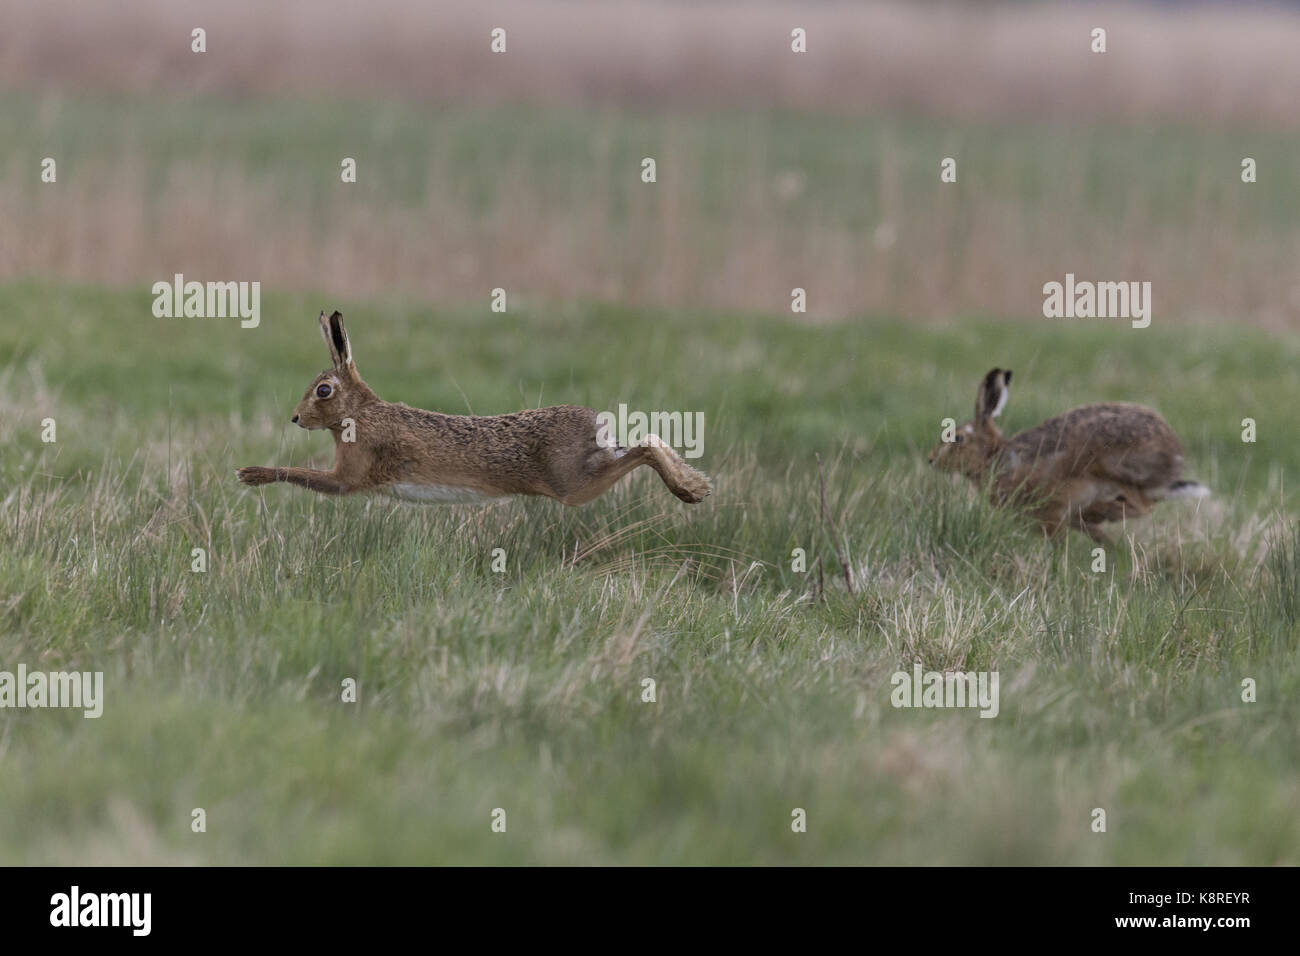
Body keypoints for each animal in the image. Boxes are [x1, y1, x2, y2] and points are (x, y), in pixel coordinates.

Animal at [236, 311, 712, 507]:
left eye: (323, 391)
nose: (296, 419)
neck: (361, 413)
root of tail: (598, 425)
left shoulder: (350, 476)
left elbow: (304, 474)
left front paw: (250, 474)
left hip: (573, 486)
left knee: (645, 446)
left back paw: (691, 491)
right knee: (646, 442)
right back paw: (698, 484)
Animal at [927, 368, 1207, 541]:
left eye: (958, 438)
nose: (931, 459)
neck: (993, 458)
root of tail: (1174, 454)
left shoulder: (1052, 510)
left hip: (1114, 466)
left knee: (1142, 505)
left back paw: (1100, 511)